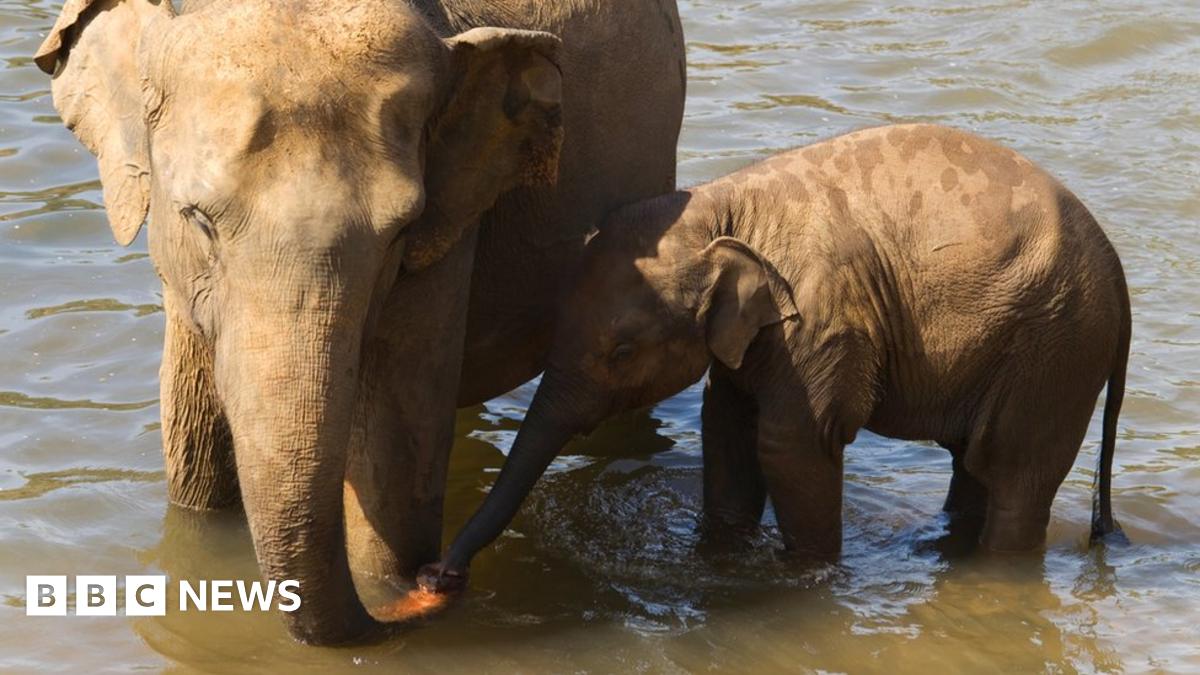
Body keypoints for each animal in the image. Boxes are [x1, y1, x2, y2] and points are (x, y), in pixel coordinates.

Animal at [35, 0, 684, 643]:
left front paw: (385, 583)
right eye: (197, 220)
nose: (437, 580)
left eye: (399, 232)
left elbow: (392, 450)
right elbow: (194, 450)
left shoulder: (448, 230)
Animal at [418, 123, 1131, 593]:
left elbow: (789, 444)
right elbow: (726, 425)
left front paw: (806, 579)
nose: (437, 576)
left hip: (1056, 345)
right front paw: (722, 560)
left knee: (1014, 474)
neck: (719, 206)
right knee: (974, 465)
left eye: (622, 350)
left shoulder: (820, 321)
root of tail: (1120, 277)